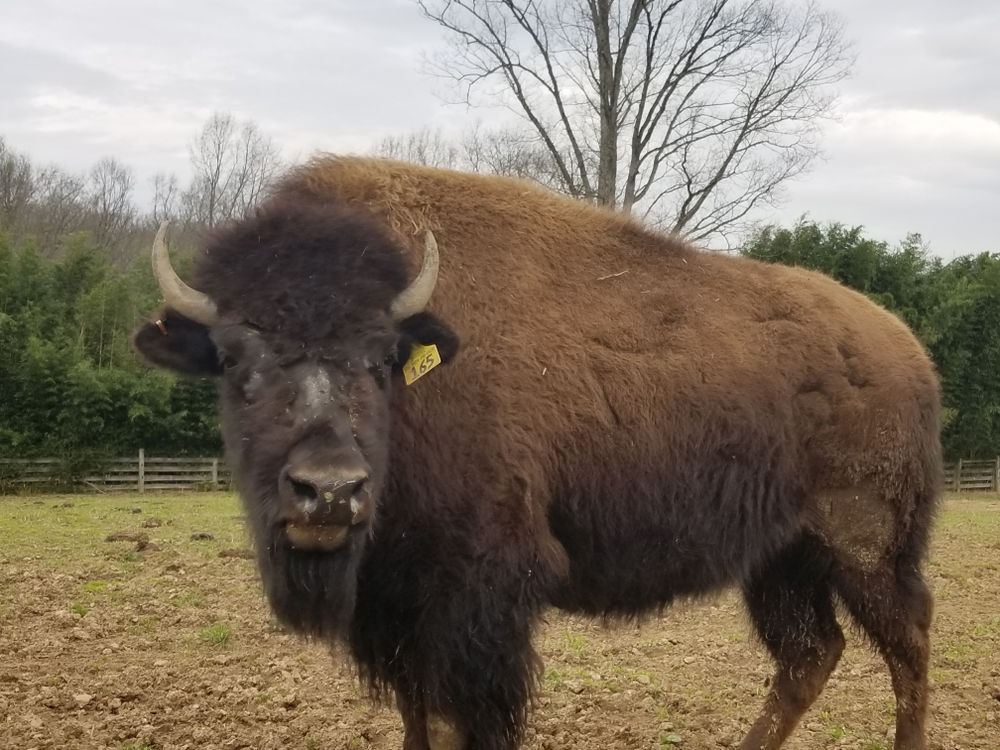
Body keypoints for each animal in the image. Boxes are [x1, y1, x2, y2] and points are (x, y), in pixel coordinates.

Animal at [132, 157, 941, 750]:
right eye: (234, 359)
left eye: (380, 356)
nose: (328, 493)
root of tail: (905, 348)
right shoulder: (399, 611)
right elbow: (418, 724)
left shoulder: (476, 597)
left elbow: (457, 726)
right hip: (781, 560)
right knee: (811, 654)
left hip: (864, 546)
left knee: (908, 645)